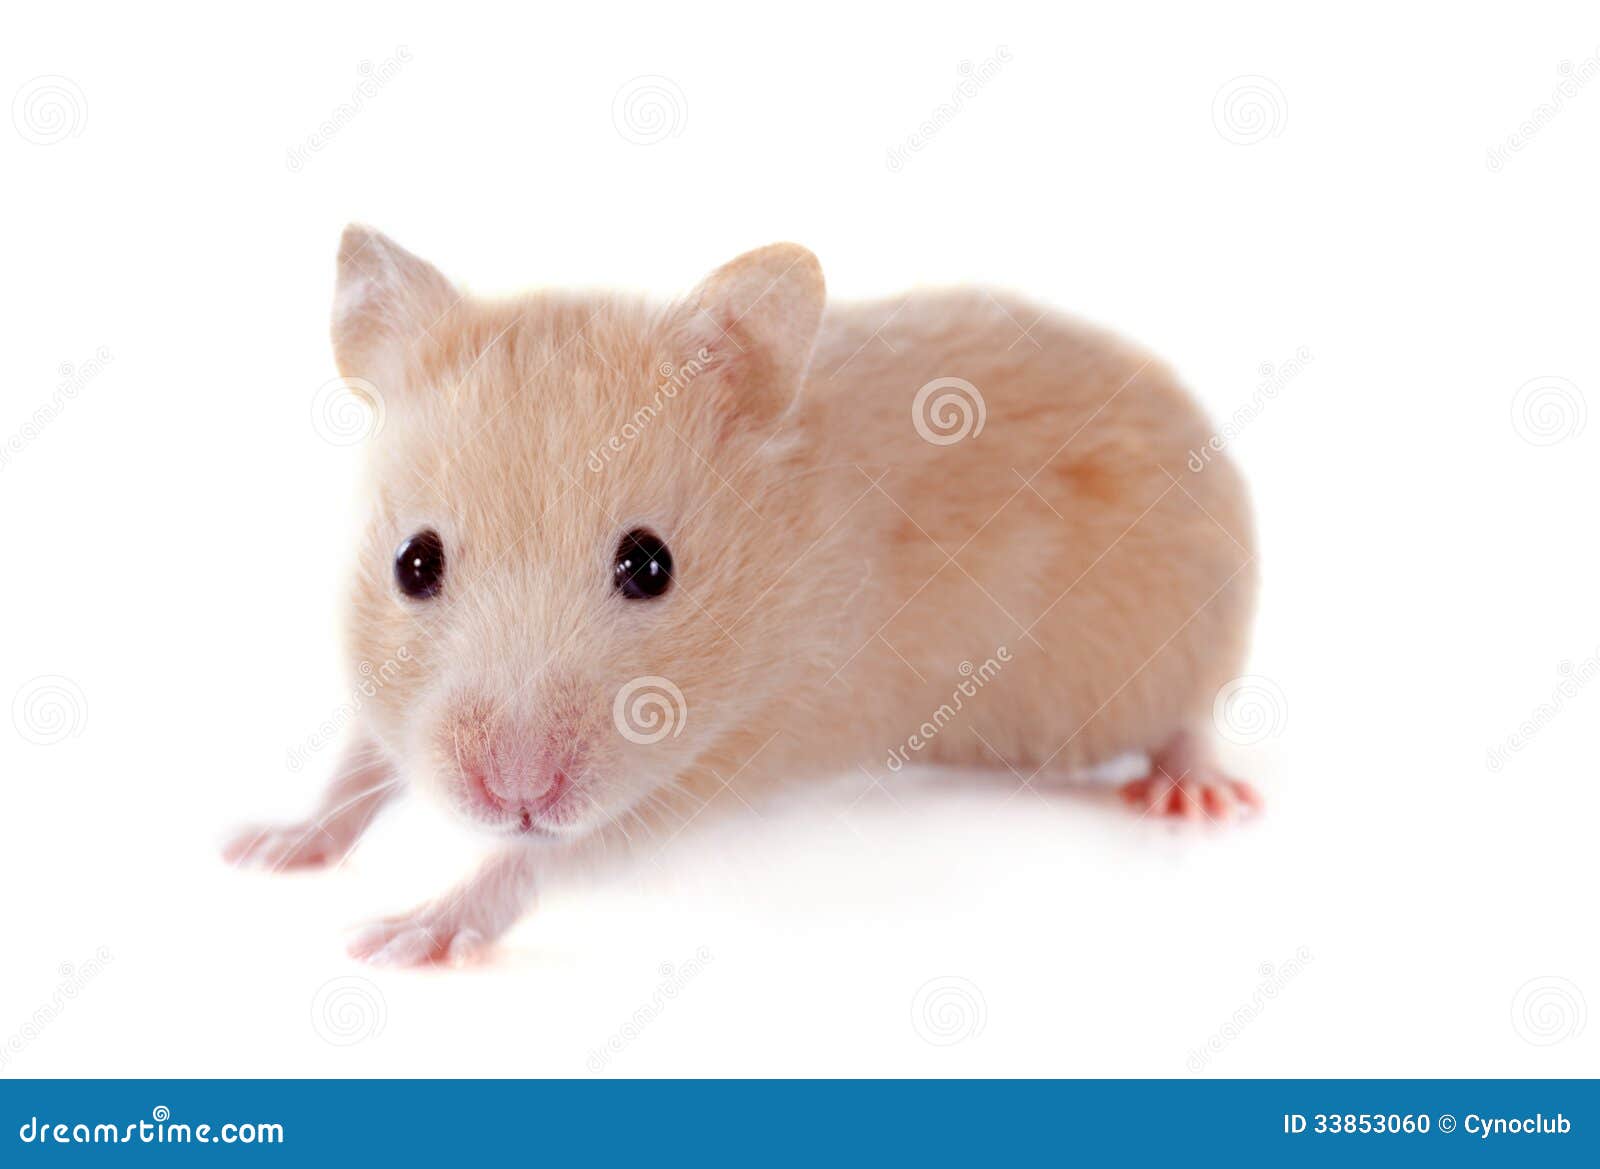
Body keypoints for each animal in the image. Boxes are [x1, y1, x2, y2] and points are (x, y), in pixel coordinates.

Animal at [224, 226, 1259, 965]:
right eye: (413, 562)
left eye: (650, 566)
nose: (513, 793)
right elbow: (358, 763)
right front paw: (269, 848)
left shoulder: (717, 760)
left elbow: (542, 858)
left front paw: (403, 937)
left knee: (1193, 713)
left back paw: (1198, 795)